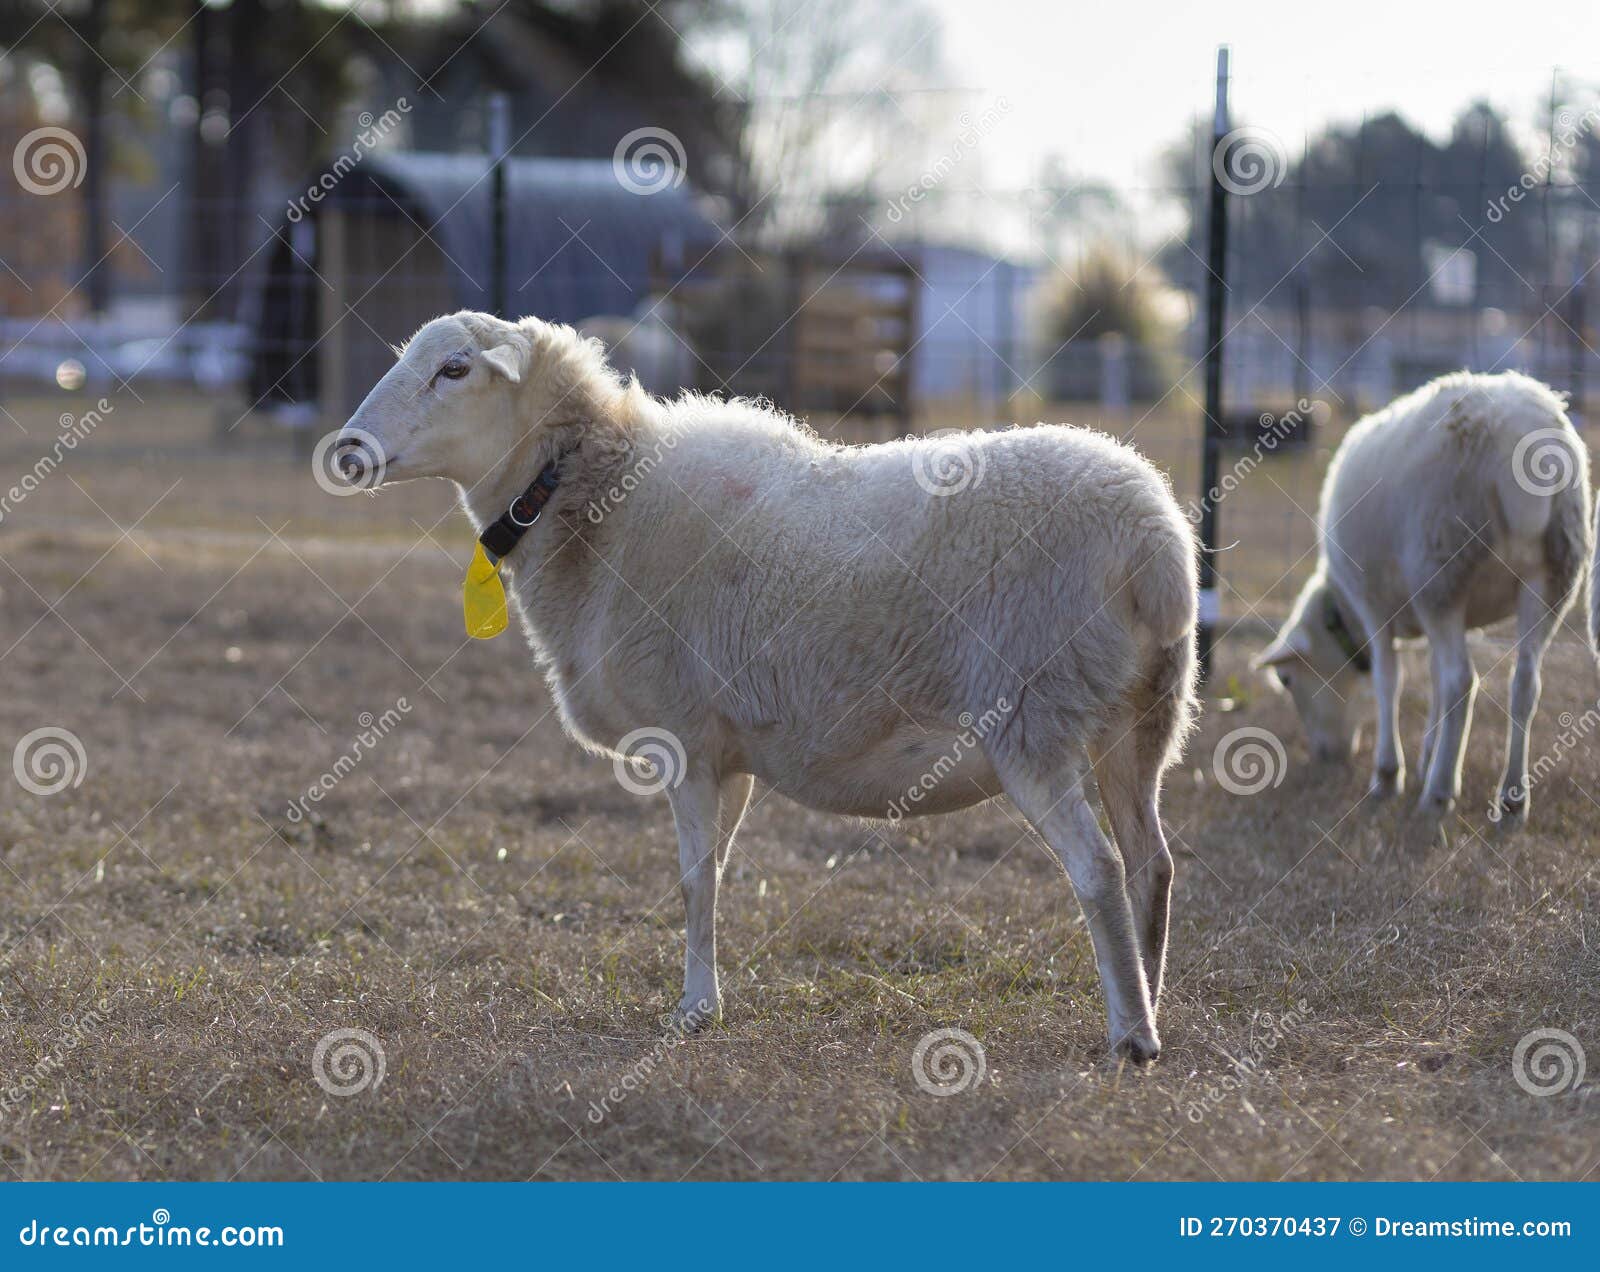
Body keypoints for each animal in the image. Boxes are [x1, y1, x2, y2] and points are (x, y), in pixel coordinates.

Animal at [333, 310, 1200, 1062]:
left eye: (454, 369)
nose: (346, 449)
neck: (593, 500)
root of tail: (1154, 544)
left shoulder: (681, 735)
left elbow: (691, 882)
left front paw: (693, 1010)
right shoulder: (729, 751)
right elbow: (714, 876)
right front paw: (707, 996)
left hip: (1032, 716)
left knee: (1100, 870)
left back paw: (1132, 1036)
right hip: (1142, 716)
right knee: (1151, 863)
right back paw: (1152, 1001)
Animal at [1256, 370, 1598, 822]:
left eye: (1287, 679)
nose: (1326, 757)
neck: (1343, 611)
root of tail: (1524, 441)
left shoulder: (1374, 604)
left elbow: (1390, 679)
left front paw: (1389, 775)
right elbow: (1434, 677)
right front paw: (1430, 754)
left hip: (1440, 567)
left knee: (1461, 681)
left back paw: (1438, 794)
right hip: (1552, 574)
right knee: (1524, 682)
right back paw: (1511, 799)